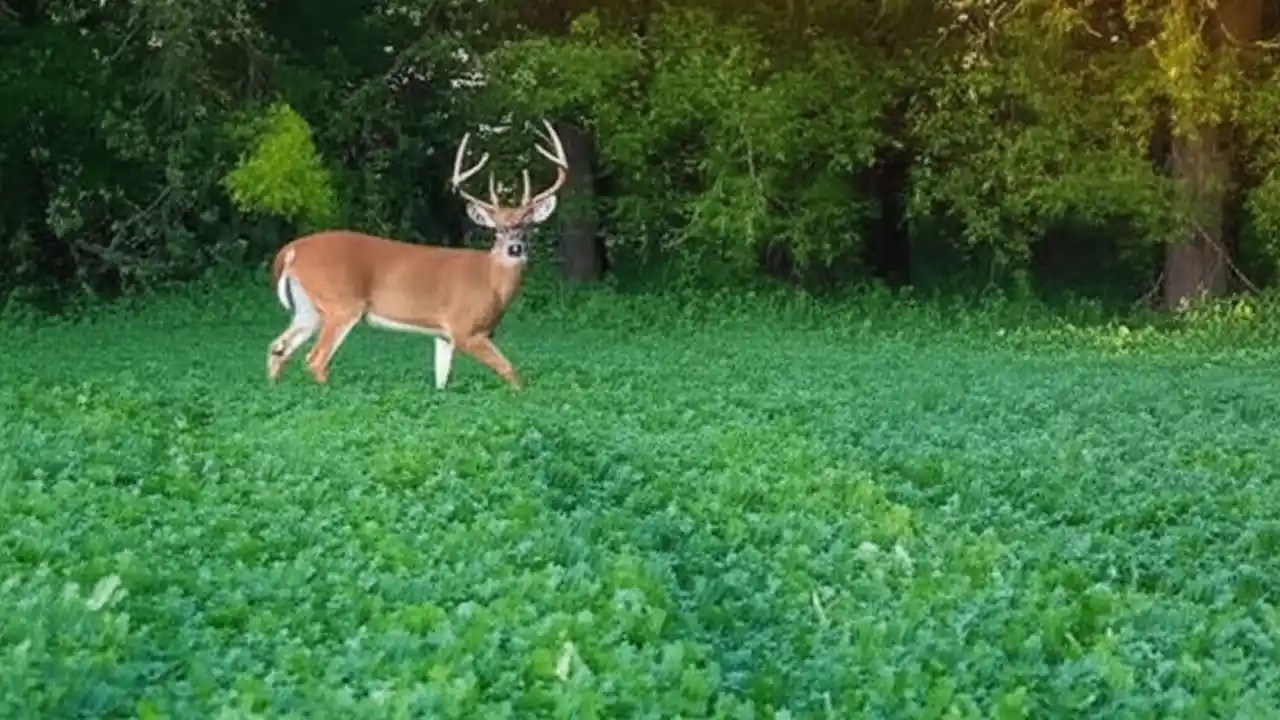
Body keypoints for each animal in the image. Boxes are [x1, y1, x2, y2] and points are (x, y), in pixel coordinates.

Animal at [265, 119, 569, 391]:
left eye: (529, 227)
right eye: (498, 230)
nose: (514, 248)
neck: (492, 282)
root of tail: (292, 250)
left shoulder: (443, 336)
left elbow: (443, 381)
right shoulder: (464, 328)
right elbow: (511, 371)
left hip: (308, 307)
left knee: (277, 347)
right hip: (341, 303)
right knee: (315, 359)